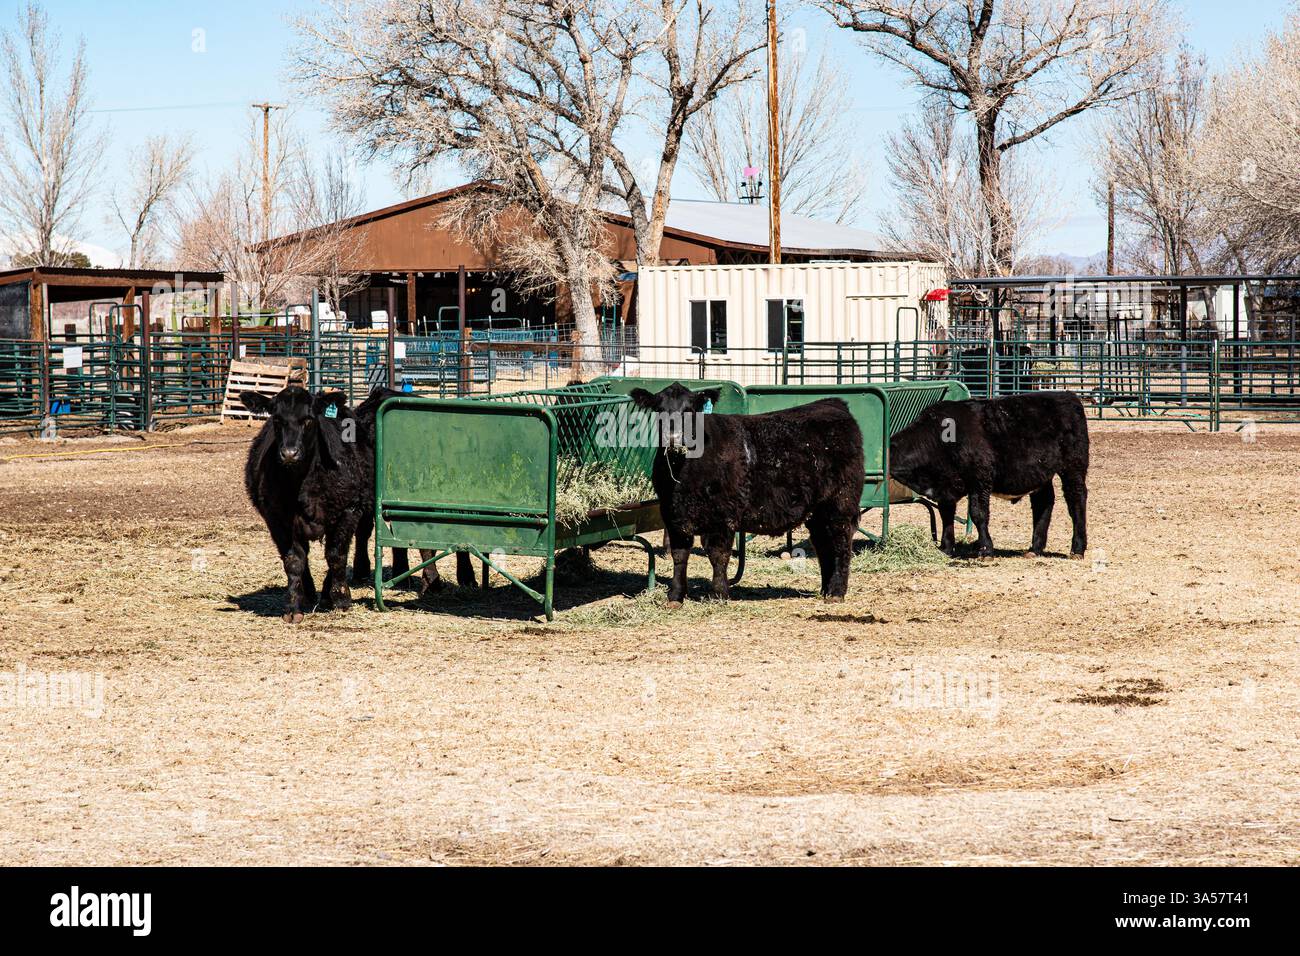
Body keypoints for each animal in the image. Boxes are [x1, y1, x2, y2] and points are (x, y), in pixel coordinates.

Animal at [241, 386, 365, 622]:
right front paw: (293, 606)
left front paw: (341, 599)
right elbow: (293, 560)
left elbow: (336, 555)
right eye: (277, 419)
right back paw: (307, 594)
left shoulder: (349, 511)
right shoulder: (277, 520)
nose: (289, 454)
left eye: (308, 419)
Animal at [630, 383, 865, 606]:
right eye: (660, 410)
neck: (684, 473)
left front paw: (719, 594)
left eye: (690, 410)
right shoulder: (673, 515)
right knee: (823, 544)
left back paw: (836, 592)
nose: (674, 437)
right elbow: (679, 555)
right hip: (817, 510)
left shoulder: (723, 516)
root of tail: (833, 404)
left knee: (841, 543)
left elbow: (718, 555)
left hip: (840, 503)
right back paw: (825, 589)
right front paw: (675, 596)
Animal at [888, 391, 1089, 560]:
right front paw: (945, 548)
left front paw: (985, 550)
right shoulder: (946, 487)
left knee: (1076, 499)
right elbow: (946, 514)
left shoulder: (980, 479)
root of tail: (1068, 396)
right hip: (1041, 473)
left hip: (1074, 466)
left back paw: (1077, 549)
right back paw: (1035, 549)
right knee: (1043, 502)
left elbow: (978, 513)